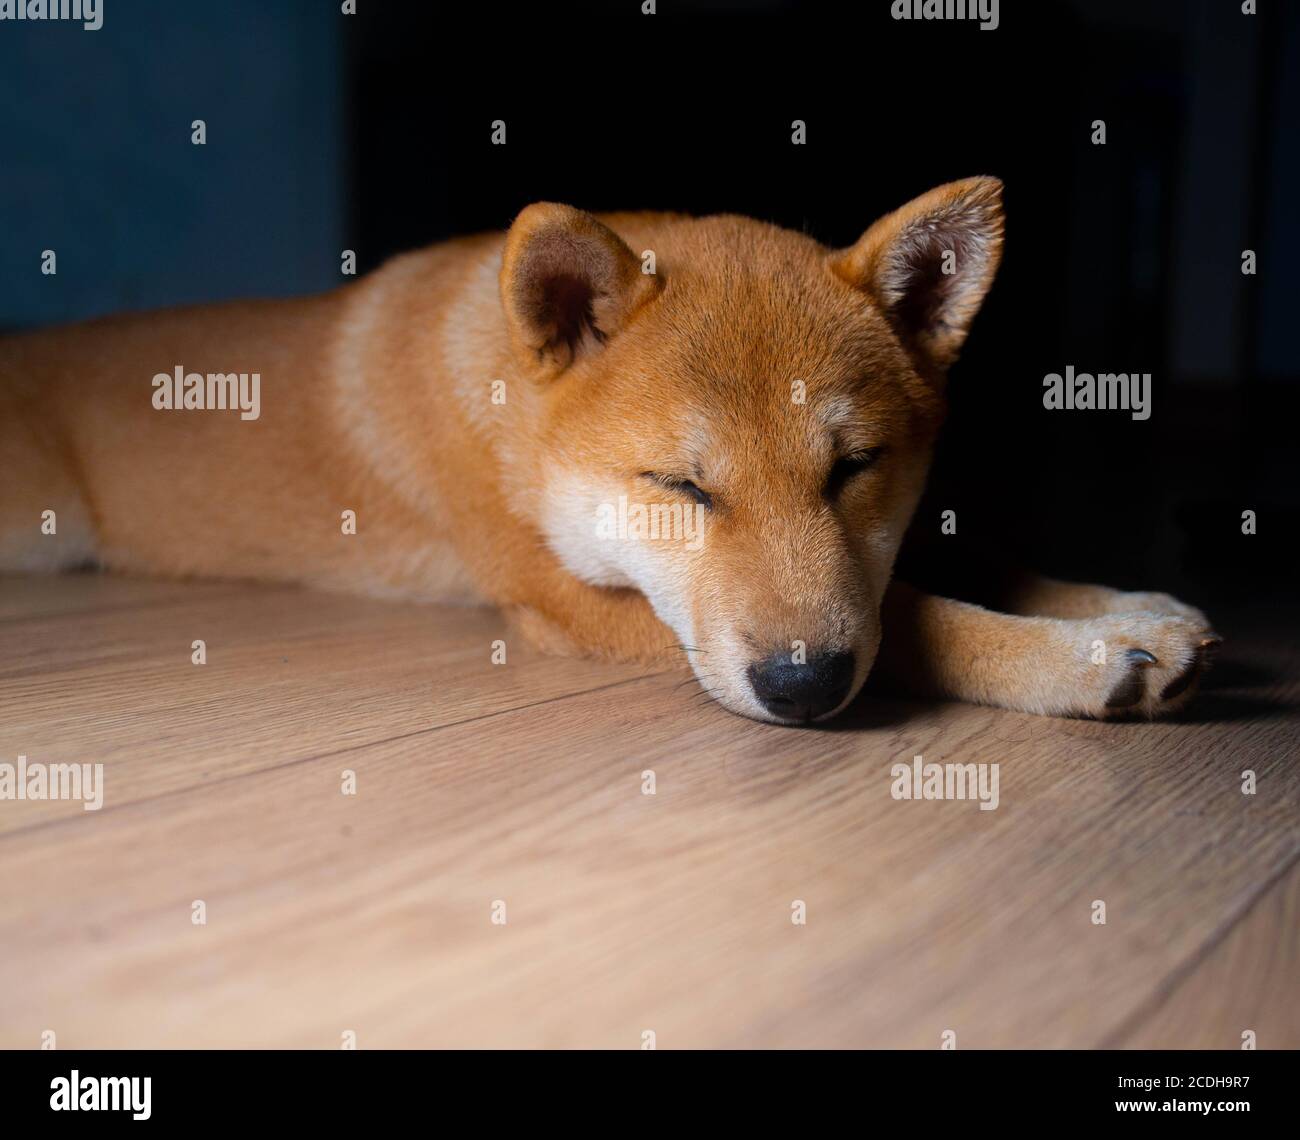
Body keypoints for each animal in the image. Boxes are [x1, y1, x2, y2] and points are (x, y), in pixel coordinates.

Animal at [0, 177, 1218, 724]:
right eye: (677, 485)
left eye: (853, 469)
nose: (805, 687)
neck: (511, 410)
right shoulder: (571, 602)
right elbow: (920, 620)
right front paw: (1071, 660)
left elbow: (956, 566)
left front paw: (1122, 605)